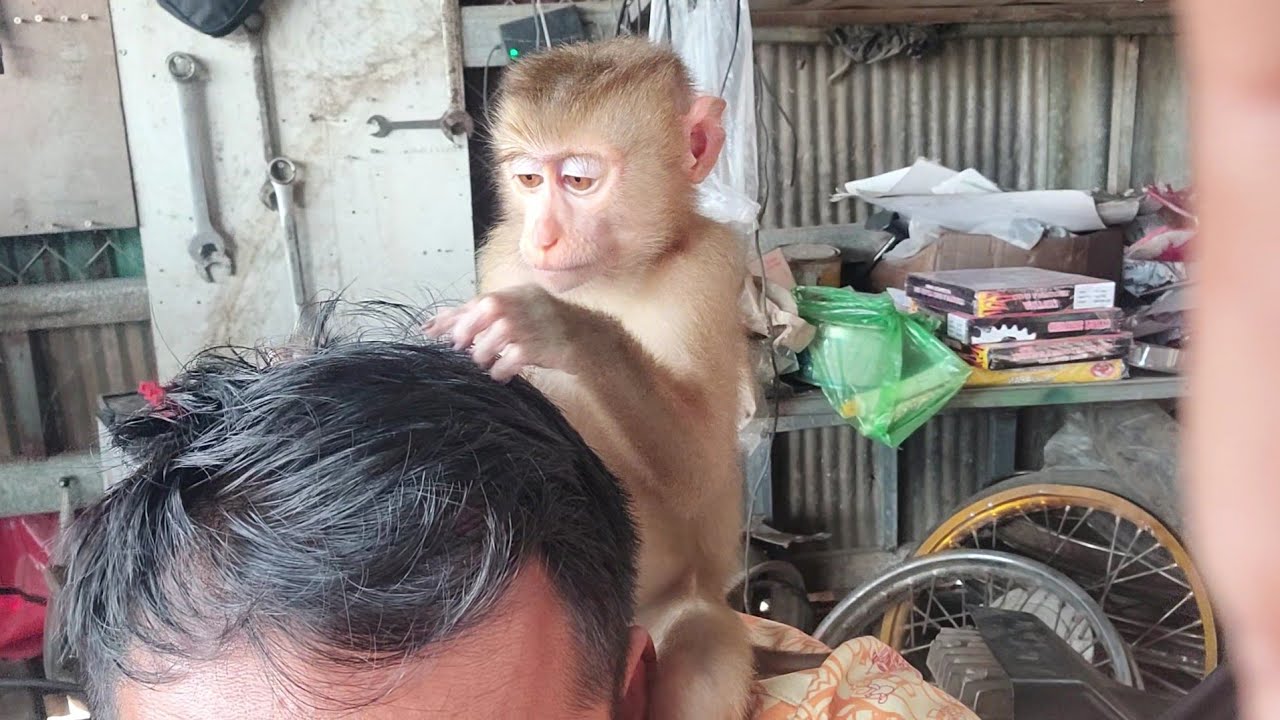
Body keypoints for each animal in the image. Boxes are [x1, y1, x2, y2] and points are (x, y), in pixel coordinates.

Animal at [425, 37, 756, 719]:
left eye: (578, 180)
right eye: (528, 179)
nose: (544, 237)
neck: (612, 277)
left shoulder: (709, 269)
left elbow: (701, 471)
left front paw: (562, 329)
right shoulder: (502, 254)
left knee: (701, 644)